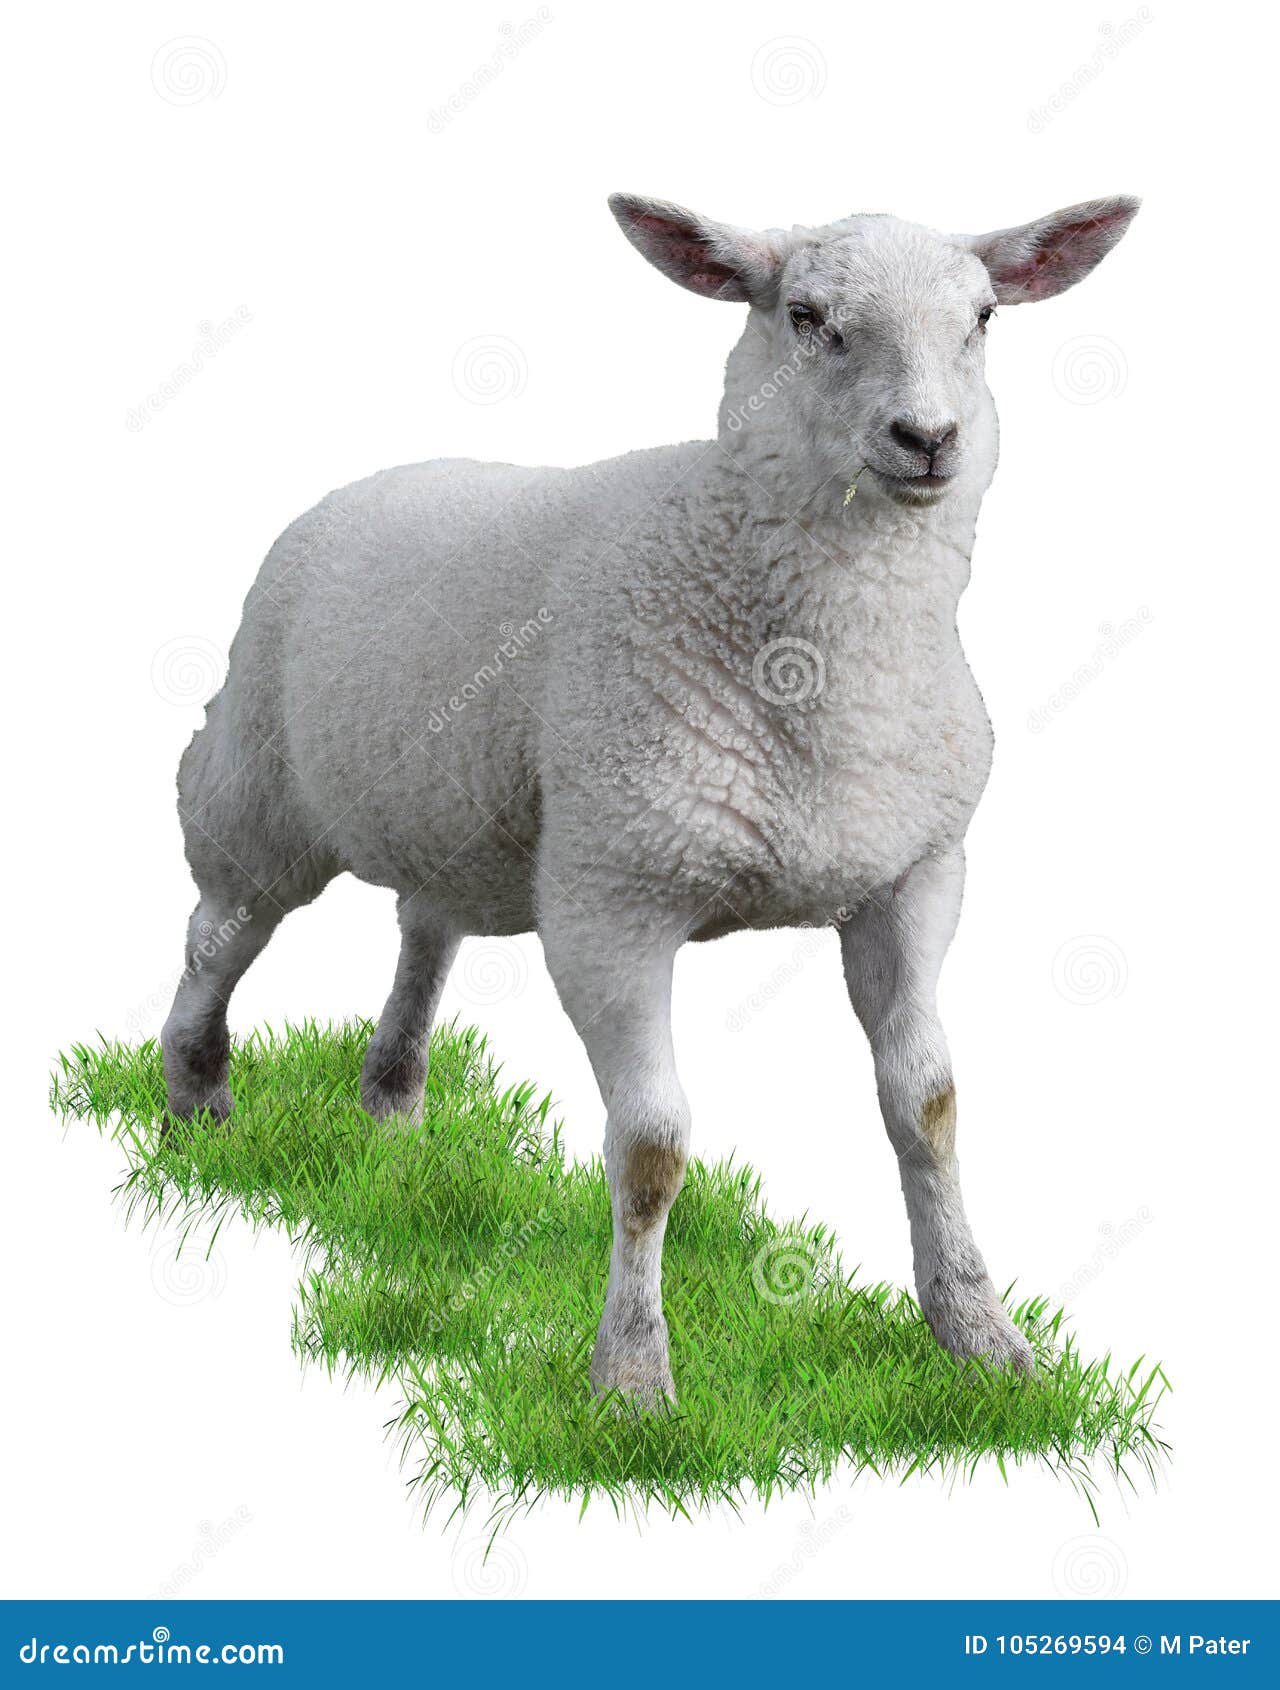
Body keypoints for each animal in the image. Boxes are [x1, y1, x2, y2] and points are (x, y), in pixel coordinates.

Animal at [162, 191, 1139, 1404]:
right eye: (805, 315)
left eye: (984, 317)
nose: (927, 438)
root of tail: (381, 474)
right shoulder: (610, 898)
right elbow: (651, 1148)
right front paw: (630, 1380)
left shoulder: (913, 876)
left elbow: (928, 1108)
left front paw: (982, 1337)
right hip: (256, 788)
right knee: (219, 933)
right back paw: (193, 1105)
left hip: (459, 819)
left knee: (423, 931)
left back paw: (390, 1111)